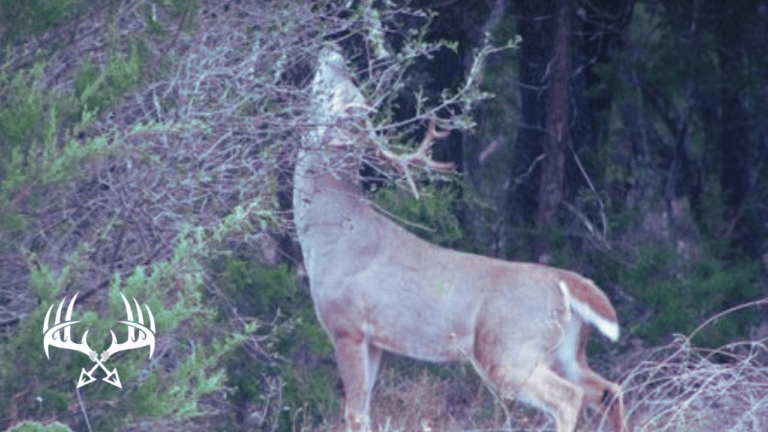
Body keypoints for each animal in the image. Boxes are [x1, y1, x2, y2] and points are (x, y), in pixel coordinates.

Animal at [292, 44, 627, 432]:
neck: (331, 237)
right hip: (566, 350)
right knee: (608, 389)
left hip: (509, 349)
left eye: (339, 95)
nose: (335, 54)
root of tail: (563, 282)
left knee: (568, 397)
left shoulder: (347, 325)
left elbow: (356, 413)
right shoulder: (376, 340)